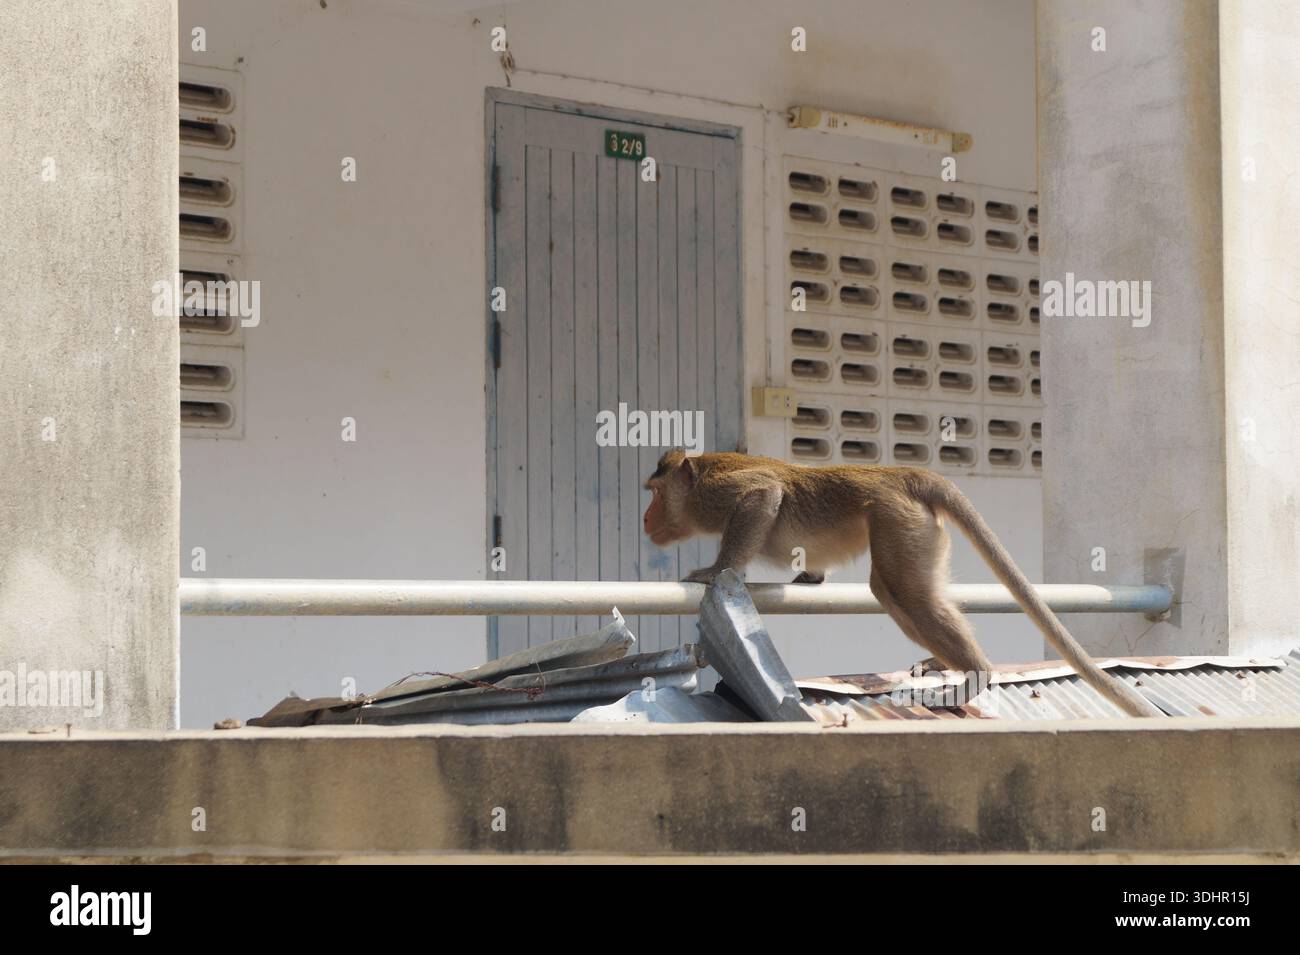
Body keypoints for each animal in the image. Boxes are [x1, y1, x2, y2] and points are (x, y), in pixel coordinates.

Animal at [643, 449, 1161, 718]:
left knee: (899, 593)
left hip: (896, 518)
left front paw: (717, 570)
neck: (698, 473)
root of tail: (903, 473)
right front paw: (809, 576)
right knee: (903, 595)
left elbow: (763, 494)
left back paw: (976, 673)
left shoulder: (716, 496)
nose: (646, 517)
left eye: (654, 492)